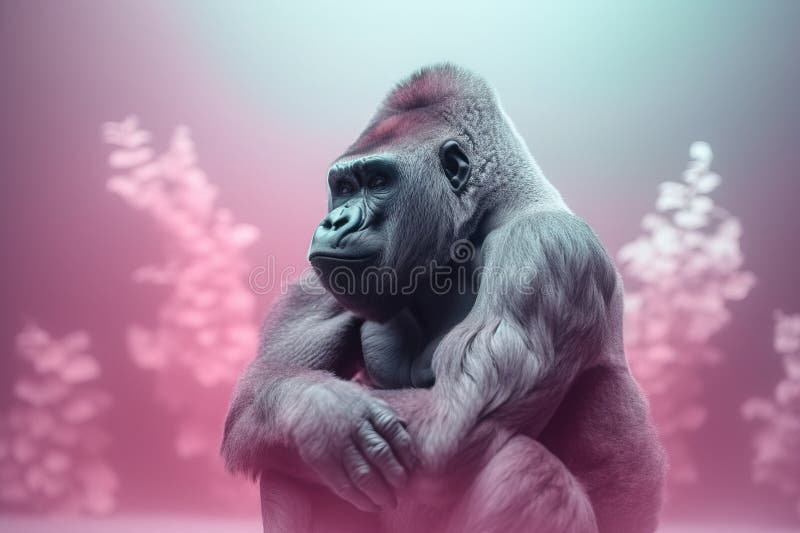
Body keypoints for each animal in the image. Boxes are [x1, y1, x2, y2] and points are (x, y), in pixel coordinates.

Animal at [222, 63, 666, 533]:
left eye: (378, 181)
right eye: (343, 187)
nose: (335, 221)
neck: (477, 222)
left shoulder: (546, 247)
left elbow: (450, 421)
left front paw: (329, 419)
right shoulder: (318, 284)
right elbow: (260, 393)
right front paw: (319, 413)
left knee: (521, 467)